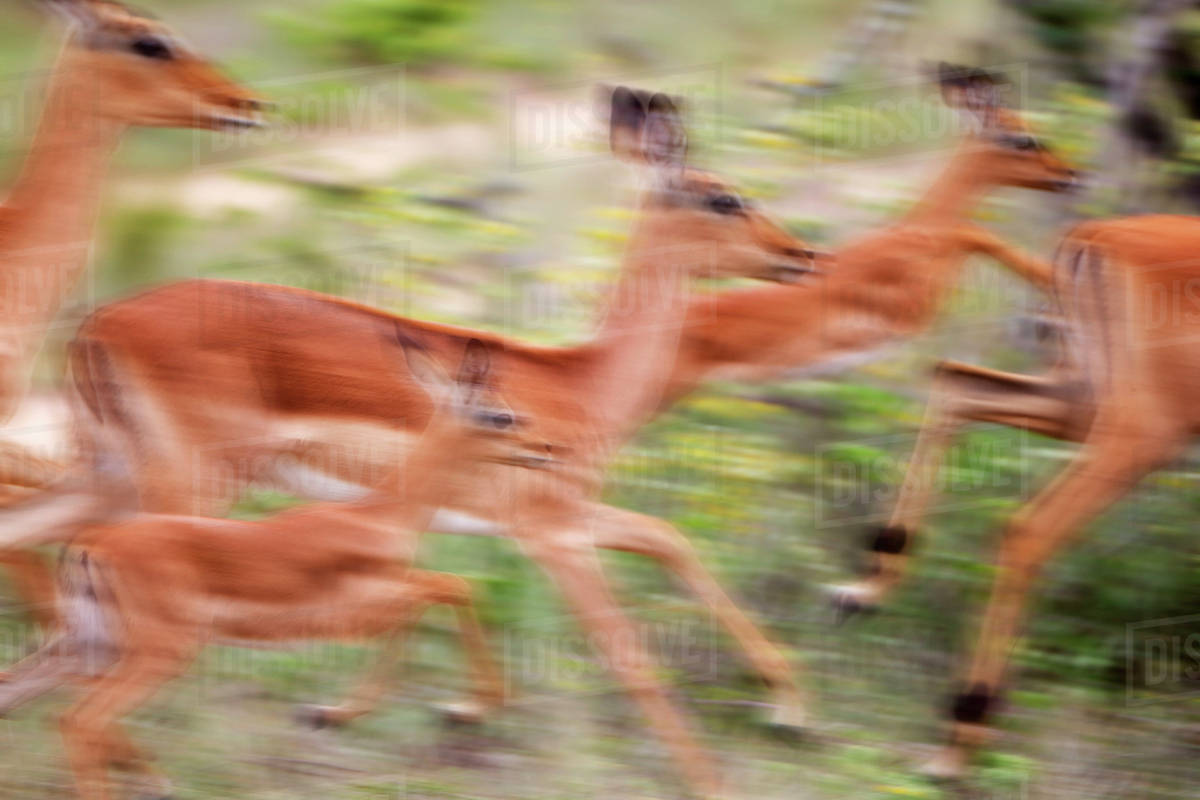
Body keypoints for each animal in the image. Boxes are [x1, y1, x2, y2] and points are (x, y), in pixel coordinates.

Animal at [0, 332, 557, 800]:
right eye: (501, 415)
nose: (548, 449)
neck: (379, 516)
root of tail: (92, 546)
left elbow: (432, 601)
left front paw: (331, 713)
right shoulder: (357, 613)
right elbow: (452, 587)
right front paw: (463, 709)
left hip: (85, 645)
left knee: (31, 700)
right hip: (158, 651)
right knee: (81, 722)